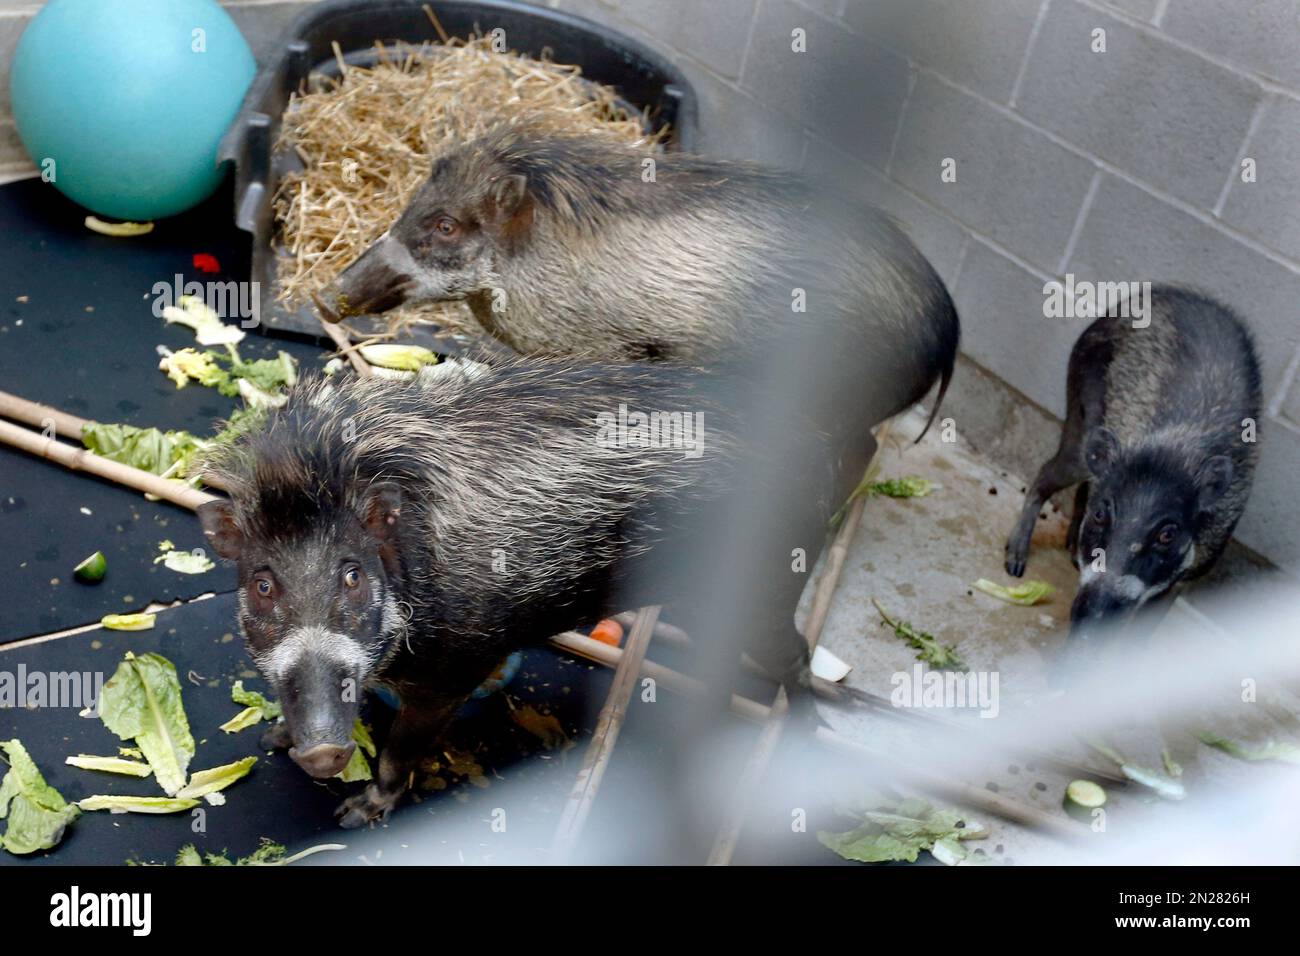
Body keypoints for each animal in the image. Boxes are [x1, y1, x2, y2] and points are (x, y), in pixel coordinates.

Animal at [197, 359, 854, 827]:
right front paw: (273, 739)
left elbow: (400, 750)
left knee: (794, 658)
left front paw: (355, 815)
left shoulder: (451, 676)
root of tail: (819, 451)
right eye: (262, 583)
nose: (322, 756)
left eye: (352, 574)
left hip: (770, 584)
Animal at [1004, 286, 1261, 645]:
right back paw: (1014, 562)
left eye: (1168, 534)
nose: (1090, 625)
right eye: (1101, 514)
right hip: (1080, 424)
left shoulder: (1192, 572)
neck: (1171, 454)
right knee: (1046, 474)